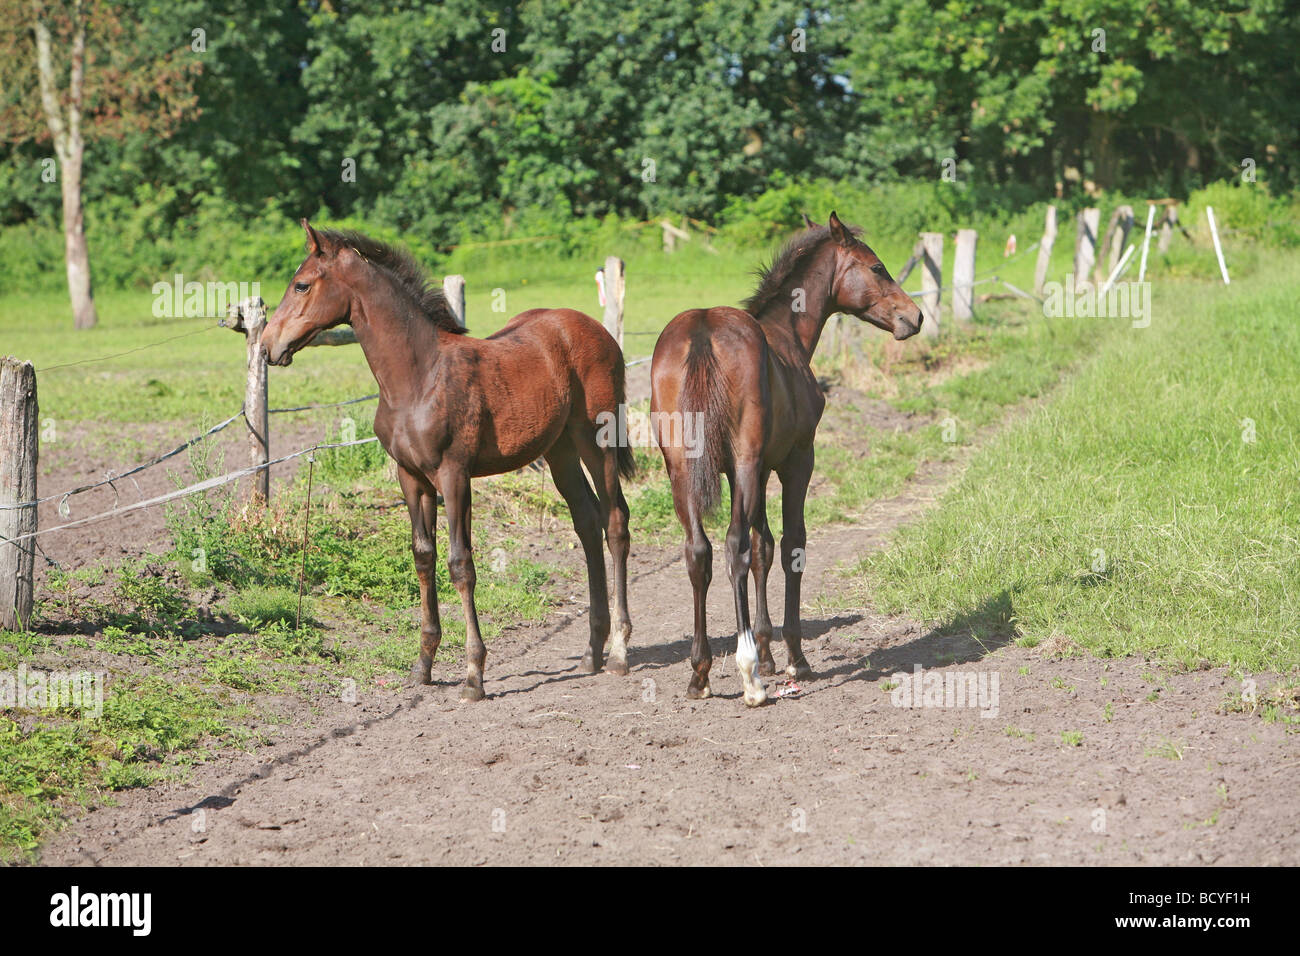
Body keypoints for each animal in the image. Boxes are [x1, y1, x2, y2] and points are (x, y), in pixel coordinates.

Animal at [262, 221, 635, 701]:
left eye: (302, 285)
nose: (268, 346)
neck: (418, 377)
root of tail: (600, 332)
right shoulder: (410, 477)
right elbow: (424, 557)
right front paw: (423, 665)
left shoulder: (454, 475)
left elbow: (461, 564)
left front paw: (474, 674)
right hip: (560, 449)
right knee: (587, 521)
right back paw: (592, 651)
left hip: (596, 440)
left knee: (615, 521)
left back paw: (620, 652)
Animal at [649, 212, 922, 706]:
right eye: (876, 267)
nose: (913, 316)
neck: (786, 336)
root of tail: (702, 331)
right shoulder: (795, 461)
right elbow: (792, 542)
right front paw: (793, 658)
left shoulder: (755, 472)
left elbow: (765, 547)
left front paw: (767, 650)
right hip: (744, 463)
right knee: (733, 546)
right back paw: (749, 678)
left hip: (681, 469)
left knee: (699, 551)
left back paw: (700, 673)